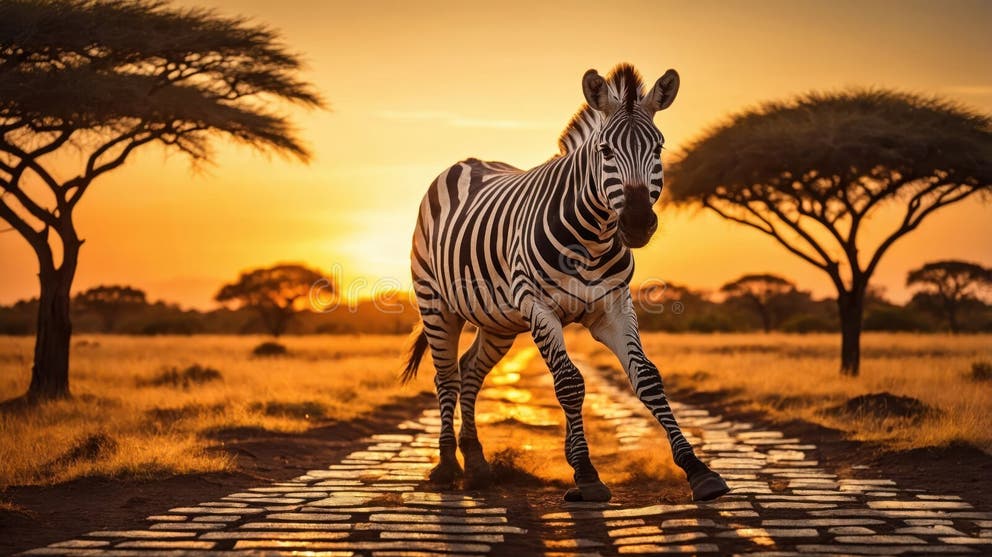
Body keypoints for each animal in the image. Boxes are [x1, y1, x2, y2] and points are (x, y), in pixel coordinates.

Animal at [401, 63, 729, 503]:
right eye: (605, 151)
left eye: (659, 149)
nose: (637, 223)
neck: (593, 236)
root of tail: (466, 162)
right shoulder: (539, 307)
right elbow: (570, 382)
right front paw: (586, 475)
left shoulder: (614, 306)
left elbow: (647, 377)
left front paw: (698, 470)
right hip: (437, 304)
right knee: (446, 377)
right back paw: (447, 467)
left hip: (499, 321)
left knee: (469, 370)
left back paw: (477, 465)